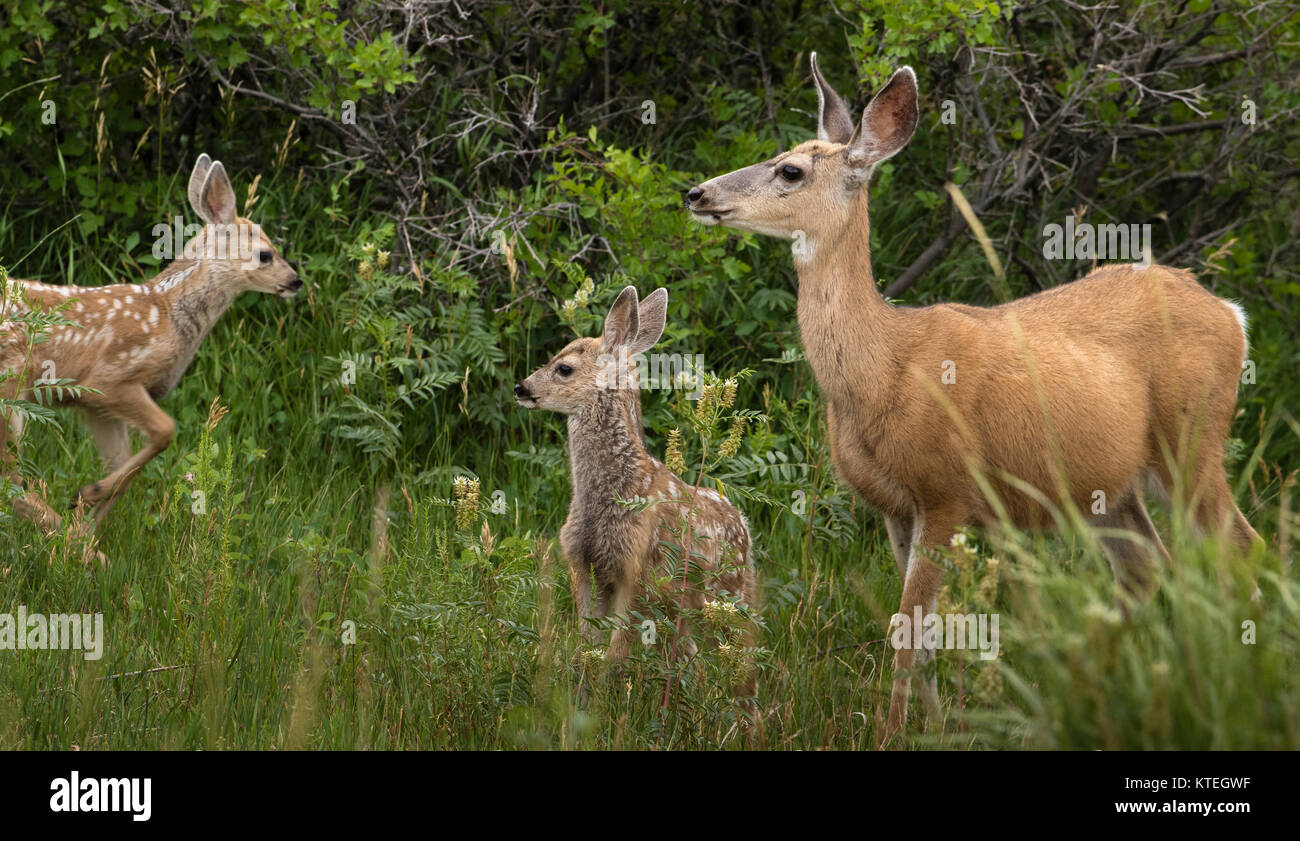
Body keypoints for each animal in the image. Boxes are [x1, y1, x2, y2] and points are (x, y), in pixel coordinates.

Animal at [1, 154, 302, 554]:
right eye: (265, 254)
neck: (166, 314)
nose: (295, 281)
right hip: (10, 387)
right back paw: (86, 553)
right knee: (10, 478)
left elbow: (122, 463)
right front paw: (83, 514)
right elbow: (165, 431)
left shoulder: (94, 405)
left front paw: (86, 509)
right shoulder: (111, 378)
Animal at [514, 285, 759, 703]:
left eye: (564, 368)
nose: (521, 388)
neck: (620, 490)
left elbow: (615, 653)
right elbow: (587, 645)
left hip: (731, 595)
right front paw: (582, 697)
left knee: (746, 662)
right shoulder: (583, 566)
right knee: (693, 658)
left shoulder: (639, 571)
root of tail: (744, 527)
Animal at [684, 53, 1261, 745]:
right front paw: (936, 728)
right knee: (1148, 569)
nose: (697, 193)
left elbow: (908, 631)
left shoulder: (947, 490)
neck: (884, 369)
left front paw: (890, 735)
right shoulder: (894, 507)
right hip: (1110, 485)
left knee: (1243, 549)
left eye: (791, 169)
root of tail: (1230, 312)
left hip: (1193, 441)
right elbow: (927, 636)